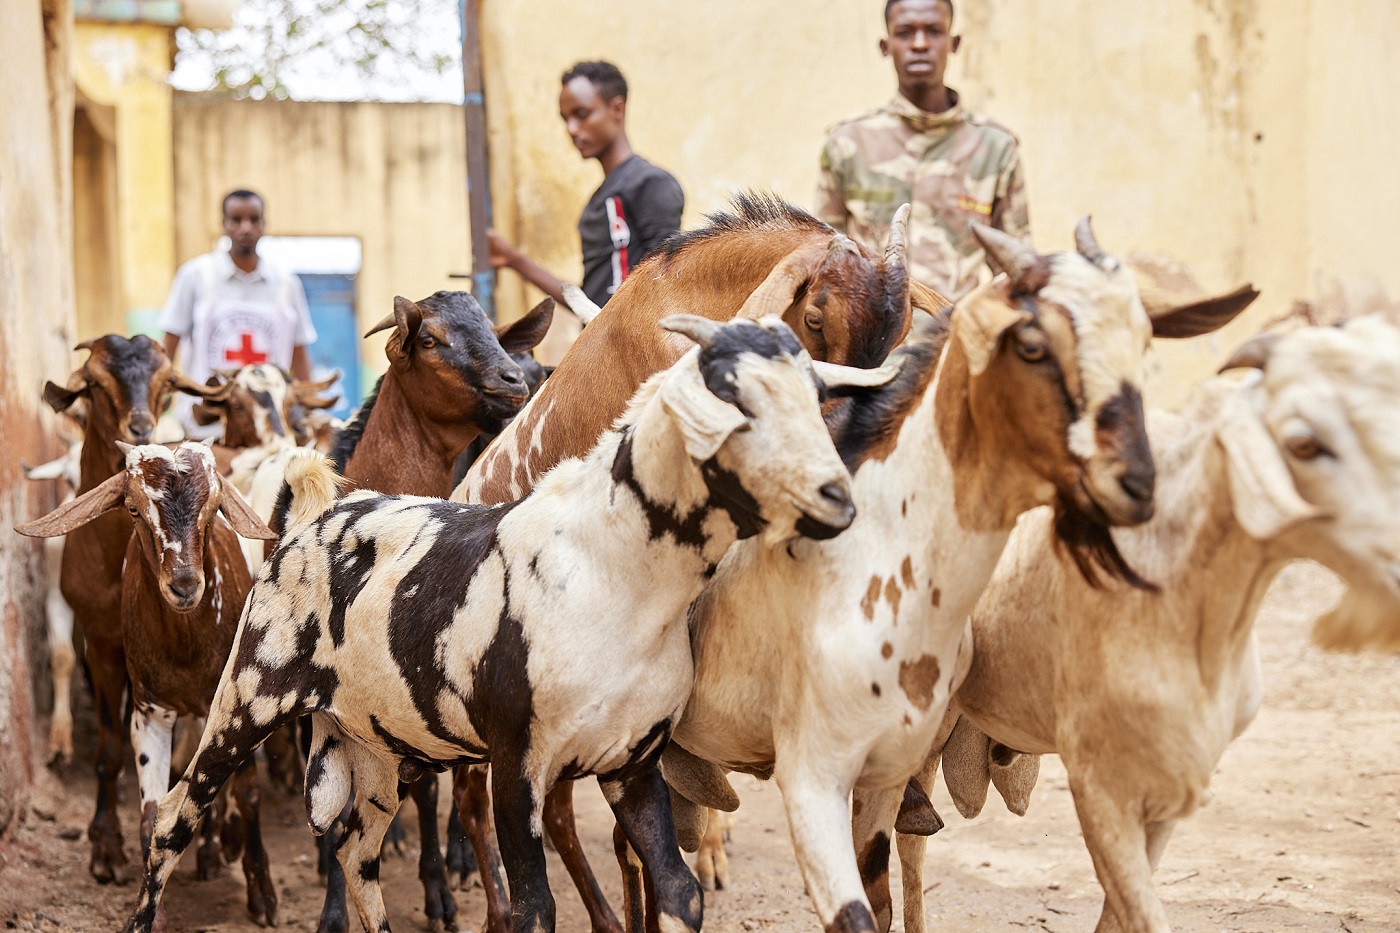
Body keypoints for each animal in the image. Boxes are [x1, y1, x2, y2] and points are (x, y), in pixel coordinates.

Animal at [18, 441, 278, 927]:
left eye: (214, 508)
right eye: (134, 509)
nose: (185, 585)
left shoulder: (240, 708)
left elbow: (248, 793)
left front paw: (262, 894)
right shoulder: (149, 712)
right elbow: (153, 813)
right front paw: (151, 909)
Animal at [38, 334, 234, 884]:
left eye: (165, 385)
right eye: (96, 384)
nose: (141, 427)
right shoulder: (101, 643)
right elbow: (109, 749)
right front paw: (104, 846)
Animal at [123, 315, 891, 933]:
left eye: (813, 399)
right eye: (738, 403)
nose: (838, 496)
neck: (610, 564)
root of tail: (314, 513)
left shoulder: (632, 764)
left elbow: (677, 891)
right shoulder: (518, 765)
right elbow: (532, 908)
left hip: (378, 748)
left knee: (356, 853)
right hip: (245, 702)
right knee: (171, 820)